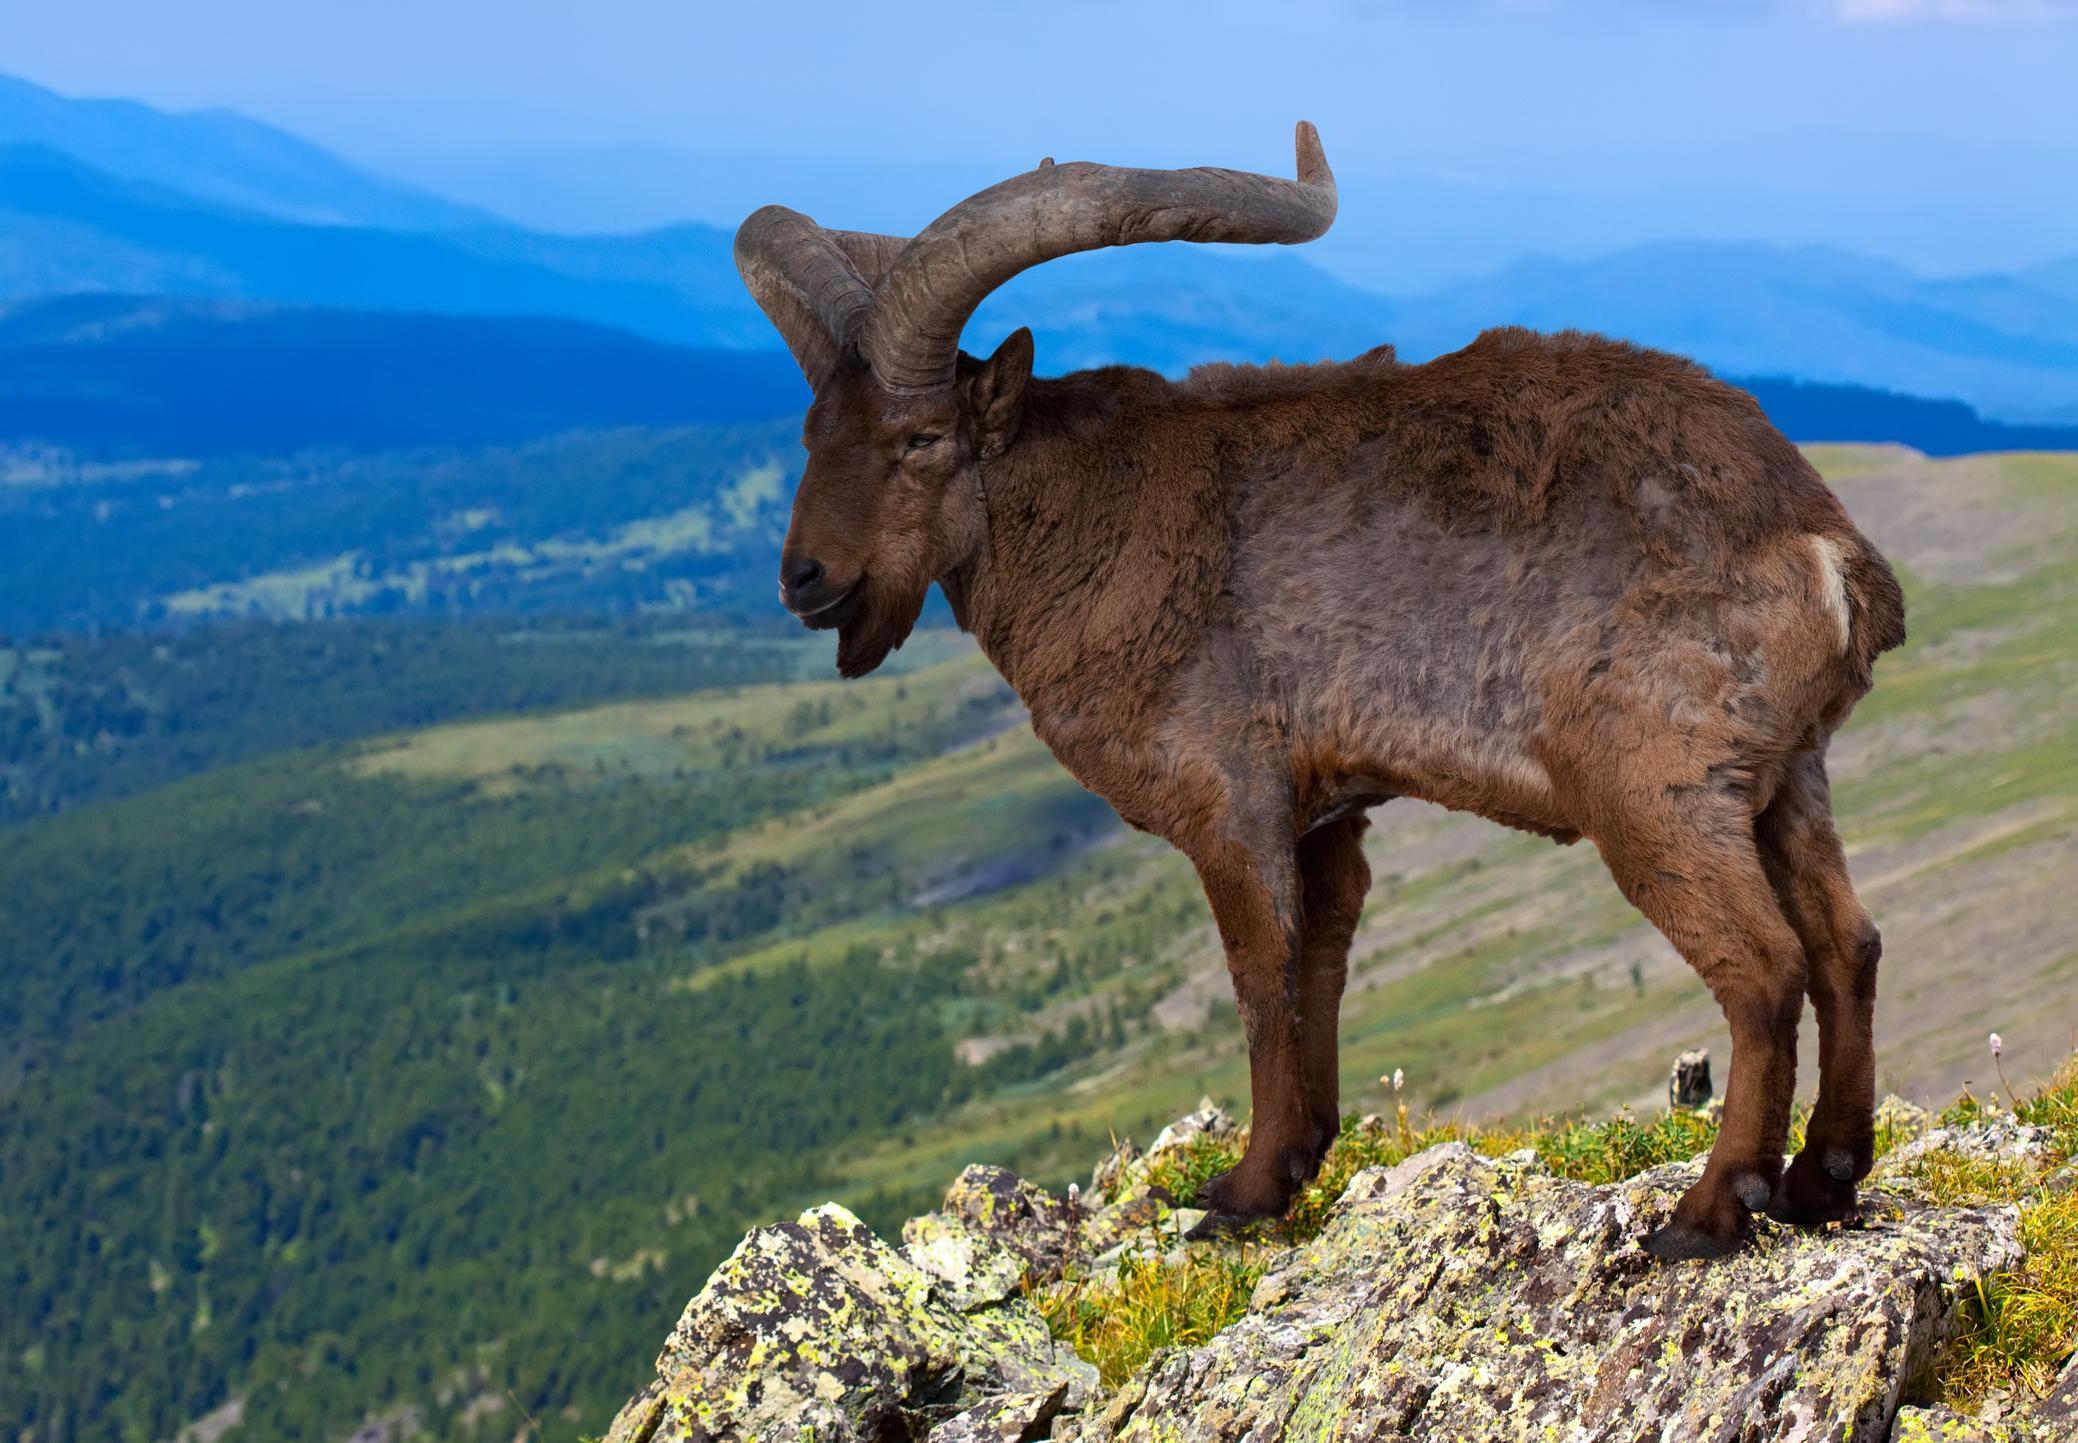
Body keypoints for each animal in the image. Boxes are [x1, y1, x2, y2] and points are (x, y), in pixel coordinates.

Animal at [734, 123, 1905, 1260]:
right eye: (809, 433)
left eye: (920, 438)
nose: (806, 578)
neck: (1096, 513)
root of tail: (1820, 547)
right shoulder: (1326, 813)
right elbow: (1323, 963)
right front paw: (1300, 1160)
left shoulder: (1230, 797)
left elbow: (1262, 976)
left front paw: (1242, 1193)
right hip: (1786, 779)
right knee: (1846, 942)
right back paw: (1822, 1178)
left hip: (1657, 791)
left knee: (1763, 967)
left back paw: (1710, 1211)